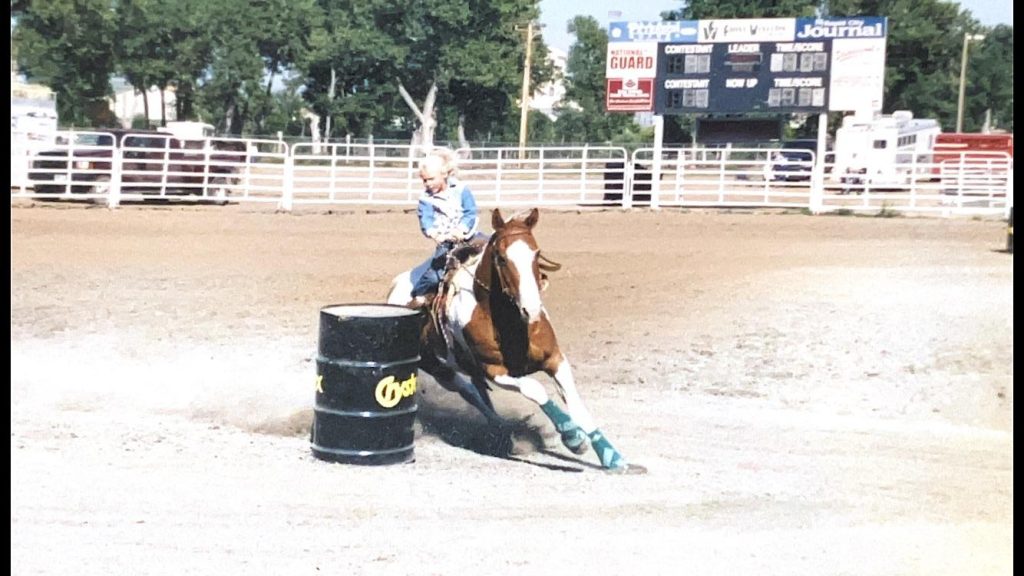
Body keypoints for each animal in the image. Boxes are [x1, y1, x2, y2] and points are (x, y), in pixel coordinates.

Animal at [387, 207, 636, 472]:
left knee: (477, 393)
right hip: (439, 369)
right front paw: (572, 436)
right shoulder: (496, 371)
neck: (509, 322)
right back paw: (505, 430)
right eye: (502, 258)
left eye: (536, 253)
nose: (531, 308)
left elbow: (577, 405)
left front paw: (611, 456)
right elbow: (536, 390)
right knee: (469, 392)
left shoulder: (555, 358)